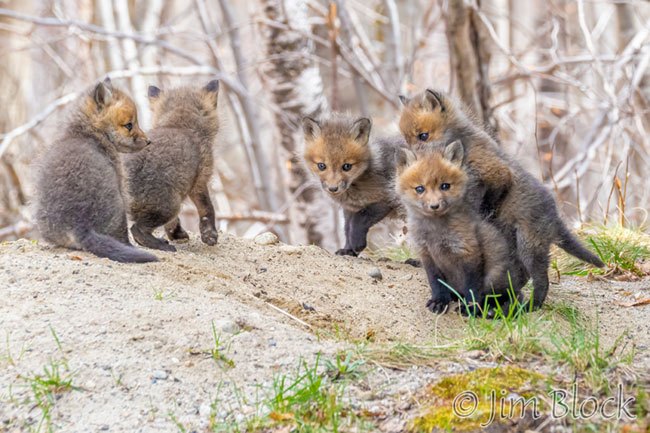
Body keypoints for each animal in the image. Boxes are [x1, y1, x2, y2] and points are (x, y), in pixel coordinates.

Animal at [124, 80, 220, 251]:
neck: (178, 124)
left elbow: (173, 222)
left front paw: (177, 234)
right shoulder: (199, 181)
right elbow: (207, 208)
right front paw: (209, 235)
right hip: (169, 206)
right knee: (137, 229)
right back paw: (161, 245)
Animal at [302, 114, 406, 256]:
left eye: (347, 166)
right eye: (321, 166)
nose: (333, 188)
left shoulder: (385, 200)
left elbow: (359, 220)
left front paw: (357, 245)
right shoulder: (350, 209)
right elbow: (347, 229)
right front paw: (348, 250)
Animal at [397, 140, 529, 314]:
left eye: (445, 186)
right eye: (420, 189)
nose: (434, 206)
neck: (435, 233)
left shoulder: (468, 252)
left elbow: (472, 287)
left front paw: (471, 307)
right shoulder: (427, 255)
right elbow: (436, 283)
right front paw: (439, 301)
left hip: (495, 279)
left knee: (504, 297)